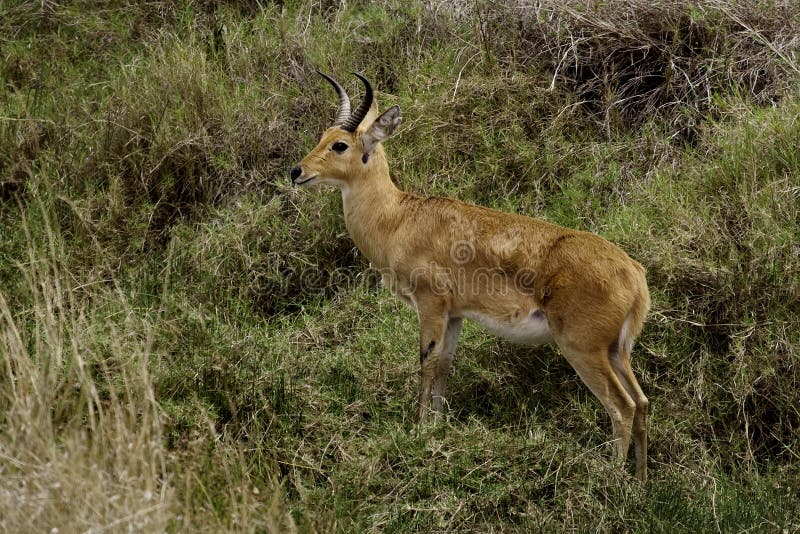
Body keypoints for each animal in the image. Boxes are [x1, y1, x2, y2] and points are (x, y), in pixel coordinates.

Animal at [290, 72, 651, 481]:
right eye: (323, 134)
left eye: (340, 144)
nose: (297, 172)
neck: (399, 218)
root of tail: (634, 275)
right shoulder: (455, 315)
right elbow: (445, 365)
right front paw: (435, 426)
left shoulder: (431, 304)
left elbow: (427, 361)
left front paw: (417, 429)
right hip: (618, 351)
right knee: (642, 403)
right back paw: (640, 483)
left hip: (584, 350)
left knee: (621, 407)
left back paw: (612, 479)